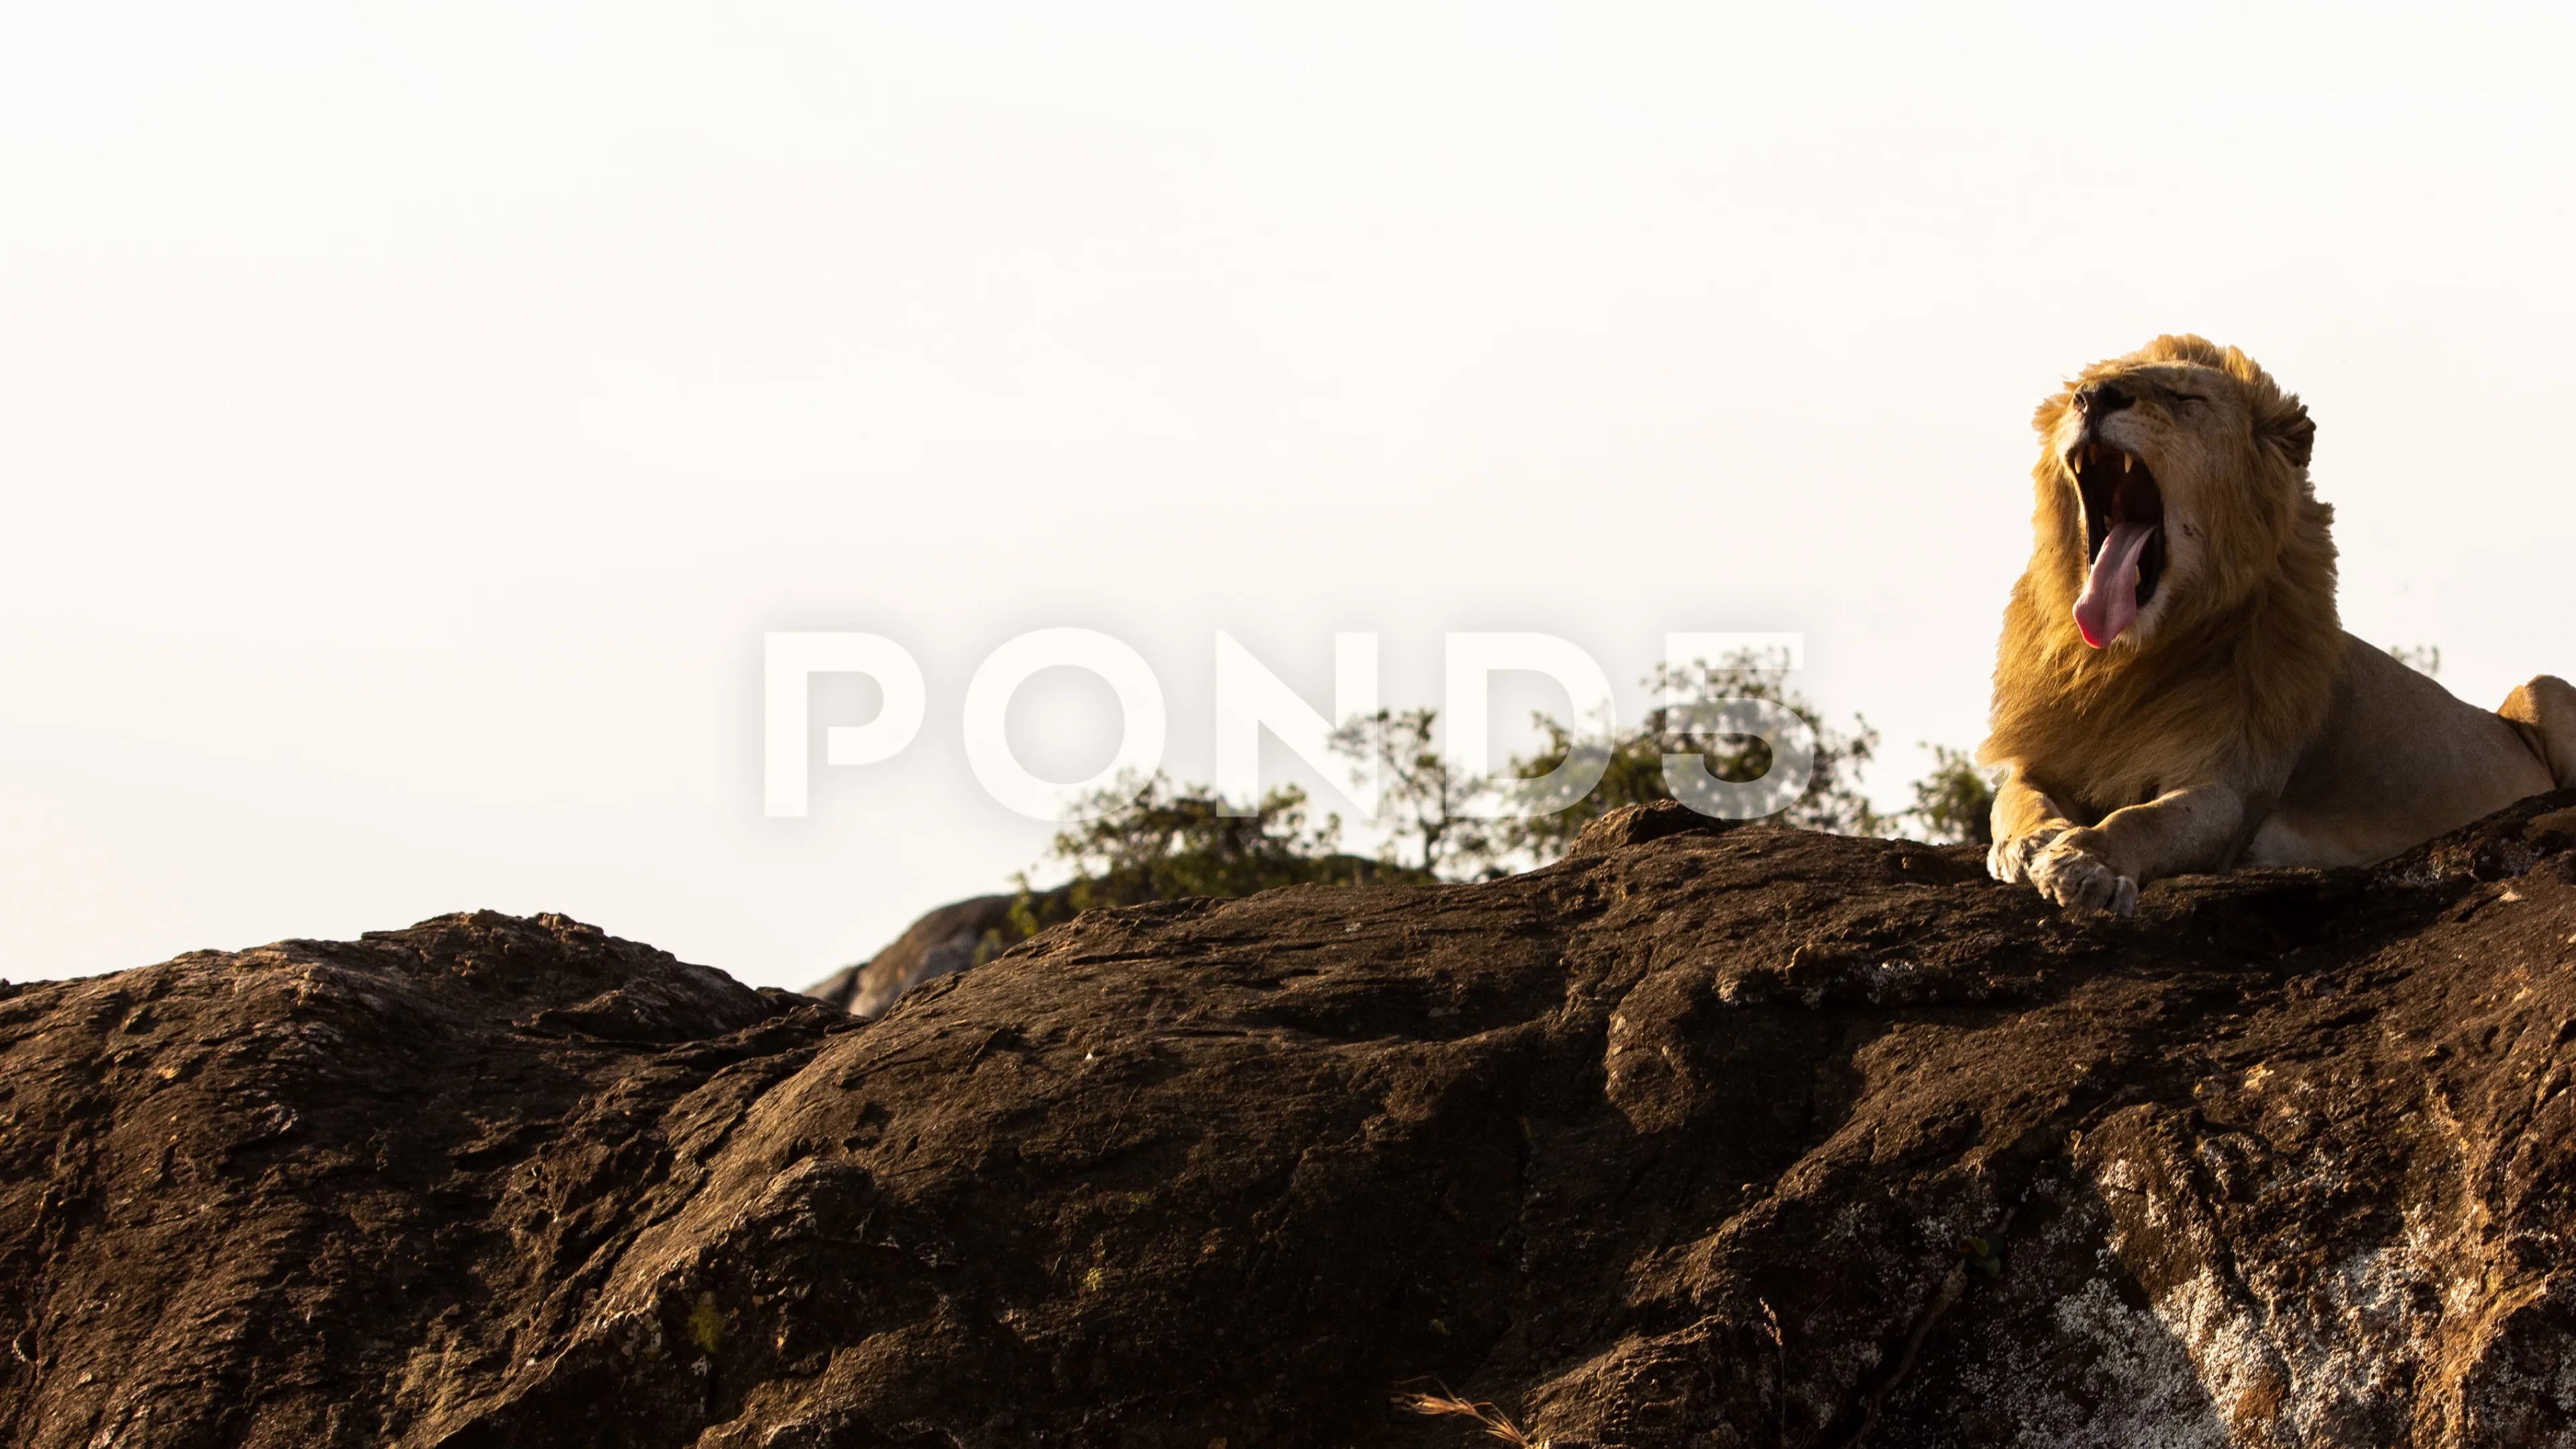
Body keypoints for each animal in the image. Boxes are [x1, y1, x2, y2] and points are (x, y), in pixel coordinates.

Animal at [1979, 334, 2576, 914]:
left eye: (2185, 398)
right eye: (2078, 393)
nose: (2094, 397)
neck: (2130, 658)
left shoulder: (2230, 787)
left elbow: (2145, 820)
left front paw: (2087, 863)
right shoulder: (2047, 757)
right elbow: (2016, 800)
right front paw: (2030, 843)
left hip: (2543, 687)